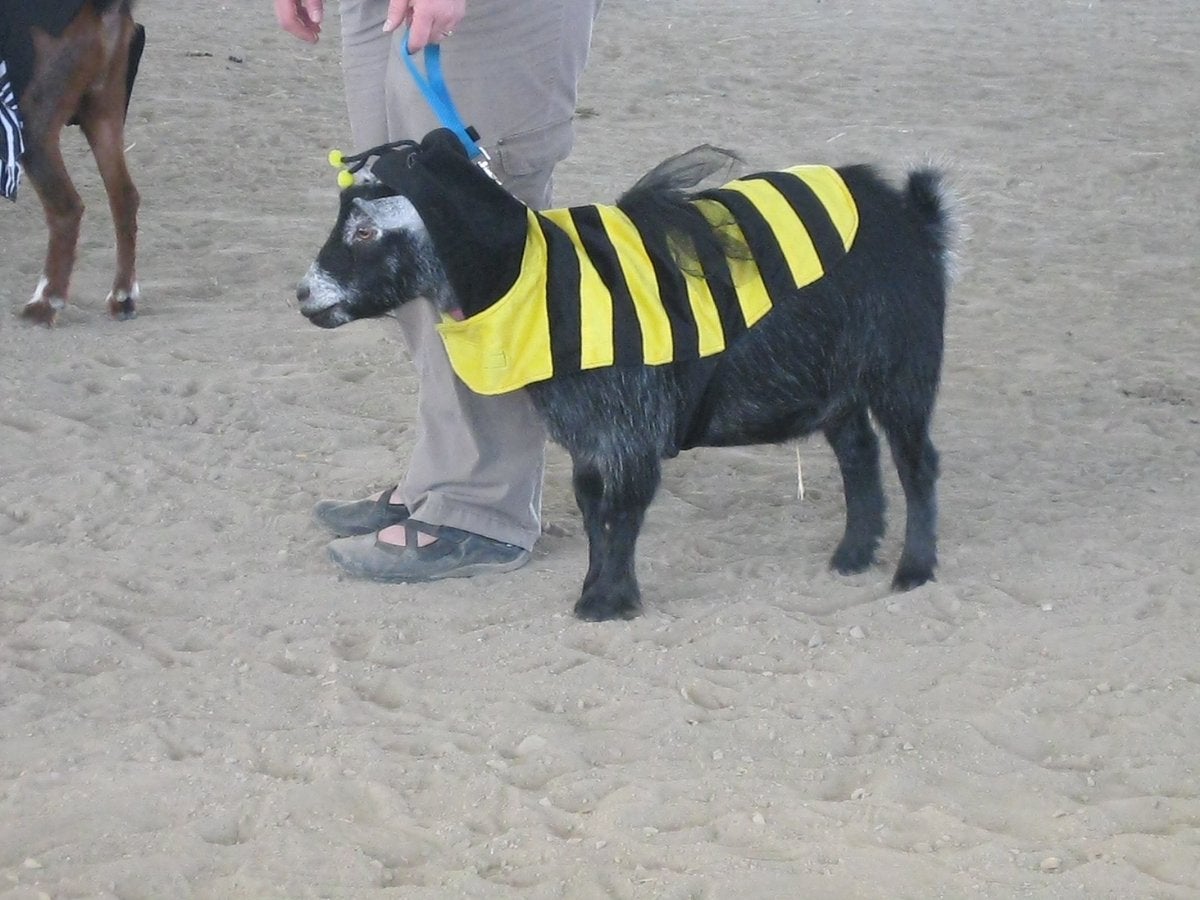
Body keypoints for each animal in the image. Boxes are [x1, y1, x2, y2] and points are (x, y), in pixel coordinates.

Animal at [0, 0, 145, 323]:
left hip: (34, 123)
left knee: (67, 208)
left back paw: (46, 302)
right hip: (103, 112)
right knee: (124, 196)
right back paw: (123, 295)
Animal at [297, 129, 955, 621]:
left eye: (365, 230)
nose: (304, 295)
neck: (539, 280)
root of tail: (915, 213)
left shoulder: (632, 426)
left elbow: (626, 510)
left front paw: (609, 603)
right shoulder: (590, 437)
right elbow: (595, 512)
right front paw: (596, 588)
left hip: (903, 364)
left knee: (916, 462)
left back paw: (914, 569)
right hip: (836, 380)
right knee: (859, 453)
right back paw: (853, 555)